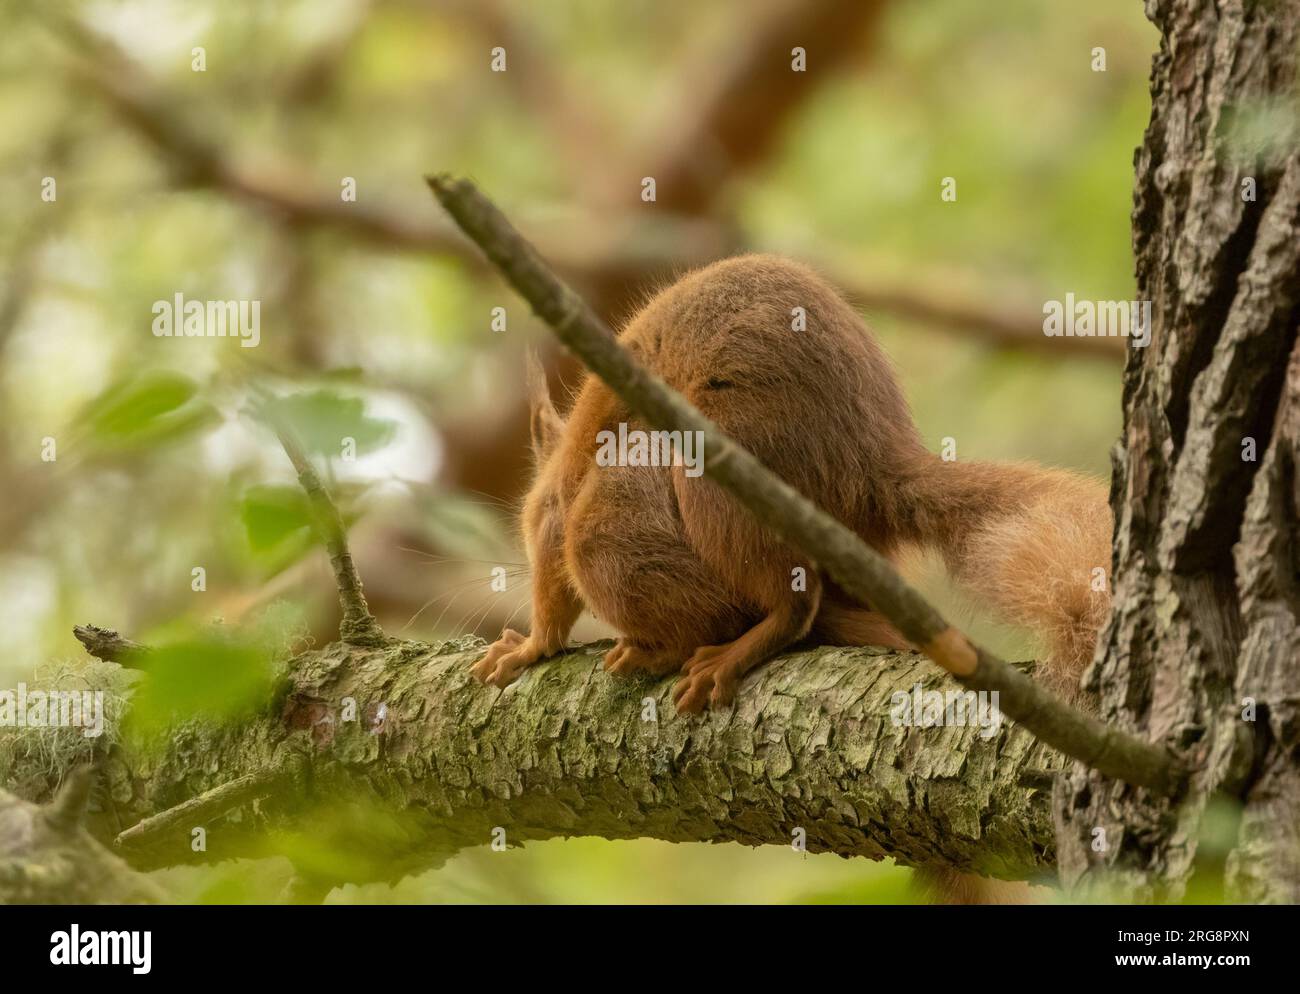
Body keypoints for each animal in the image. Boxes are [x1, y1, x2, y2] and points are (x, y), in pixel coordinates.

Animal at [472, 254, 1112, 713]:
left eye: (525, 516)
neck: (563, 460)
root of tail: (871, 462)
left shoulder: (554, 514)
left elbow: (552, 586)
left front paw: (528, 647)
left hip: (723, 463)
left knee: (792, 602)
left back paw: (715, 652)